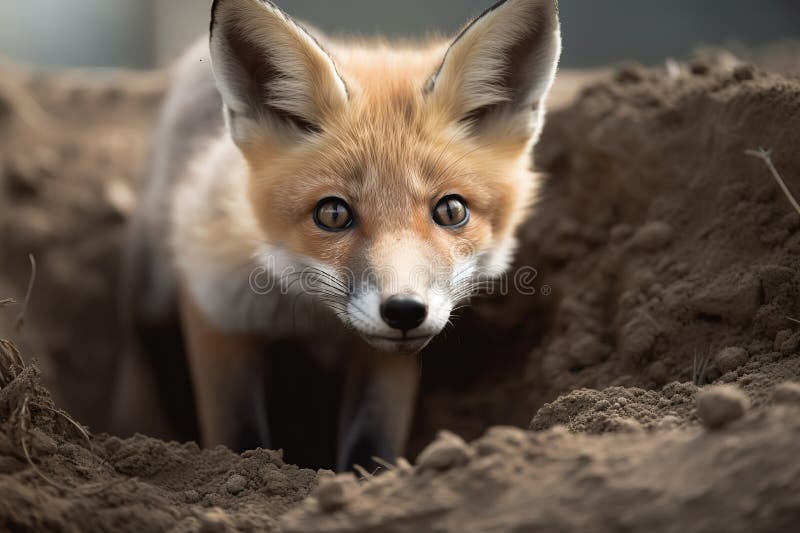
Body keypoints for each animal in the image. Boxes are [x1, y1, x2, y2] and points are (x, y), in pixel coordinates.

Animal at [111, 0, 561, 472]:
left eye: (451, 210)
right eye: (332, 213)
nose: (404, 310)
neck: (317, 315)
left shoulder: (387, 359)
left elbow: (373, 438)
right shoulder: (214, 304)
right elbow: (237, 434)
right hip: (150, 299)